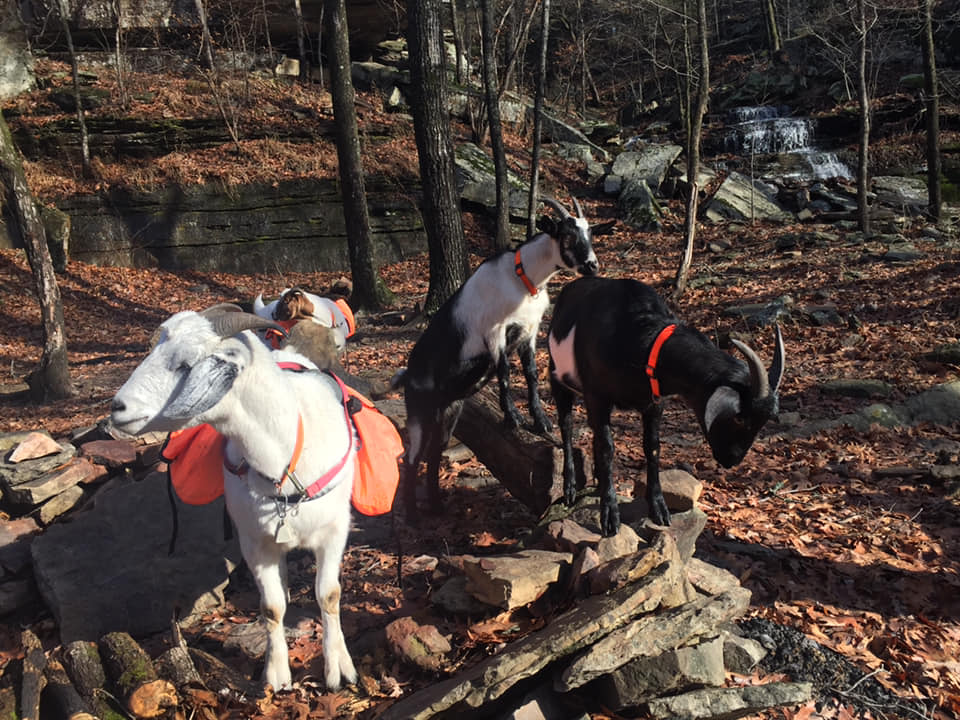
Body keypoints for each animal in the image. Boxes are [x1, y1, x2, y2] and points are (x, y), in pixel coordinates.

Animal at [110, 305, 357, 692]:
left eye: (186, 364)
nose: (118, 407)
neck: (286, 459)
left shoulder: (335, 531)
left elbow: (328, 594)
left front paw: (338, 669)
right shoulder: (253, 542)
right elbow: (270, 607)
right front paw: (276, 674)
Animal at [392, 197, 614, 518]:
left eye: (591, 234)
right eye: (568, 236)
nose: (592, 266)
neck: (522, 278)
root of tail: (408, 375)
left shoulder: (529, 332)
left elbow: (531, 374)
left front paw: (540, 420)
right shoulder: (495, 332)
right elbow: (505, 373)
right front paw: (513, 417)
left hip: (448, 411)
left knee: (433, 454)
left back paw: (436, 506)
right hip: (419, 412)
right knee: (411, 458)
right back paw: (411, 514)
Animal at [548, 276, 785, 536]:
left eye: (764, 421)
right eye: (740, 417)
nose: (732, 459)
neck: (640, 339)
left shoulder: (654, 403)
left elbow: (652, 447)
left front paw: (658, 508)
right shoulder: (597, 396)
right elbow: (607, 449)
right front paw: (609, 514)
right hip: (558, 378)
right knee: (567, 427)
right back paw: (570, 488)